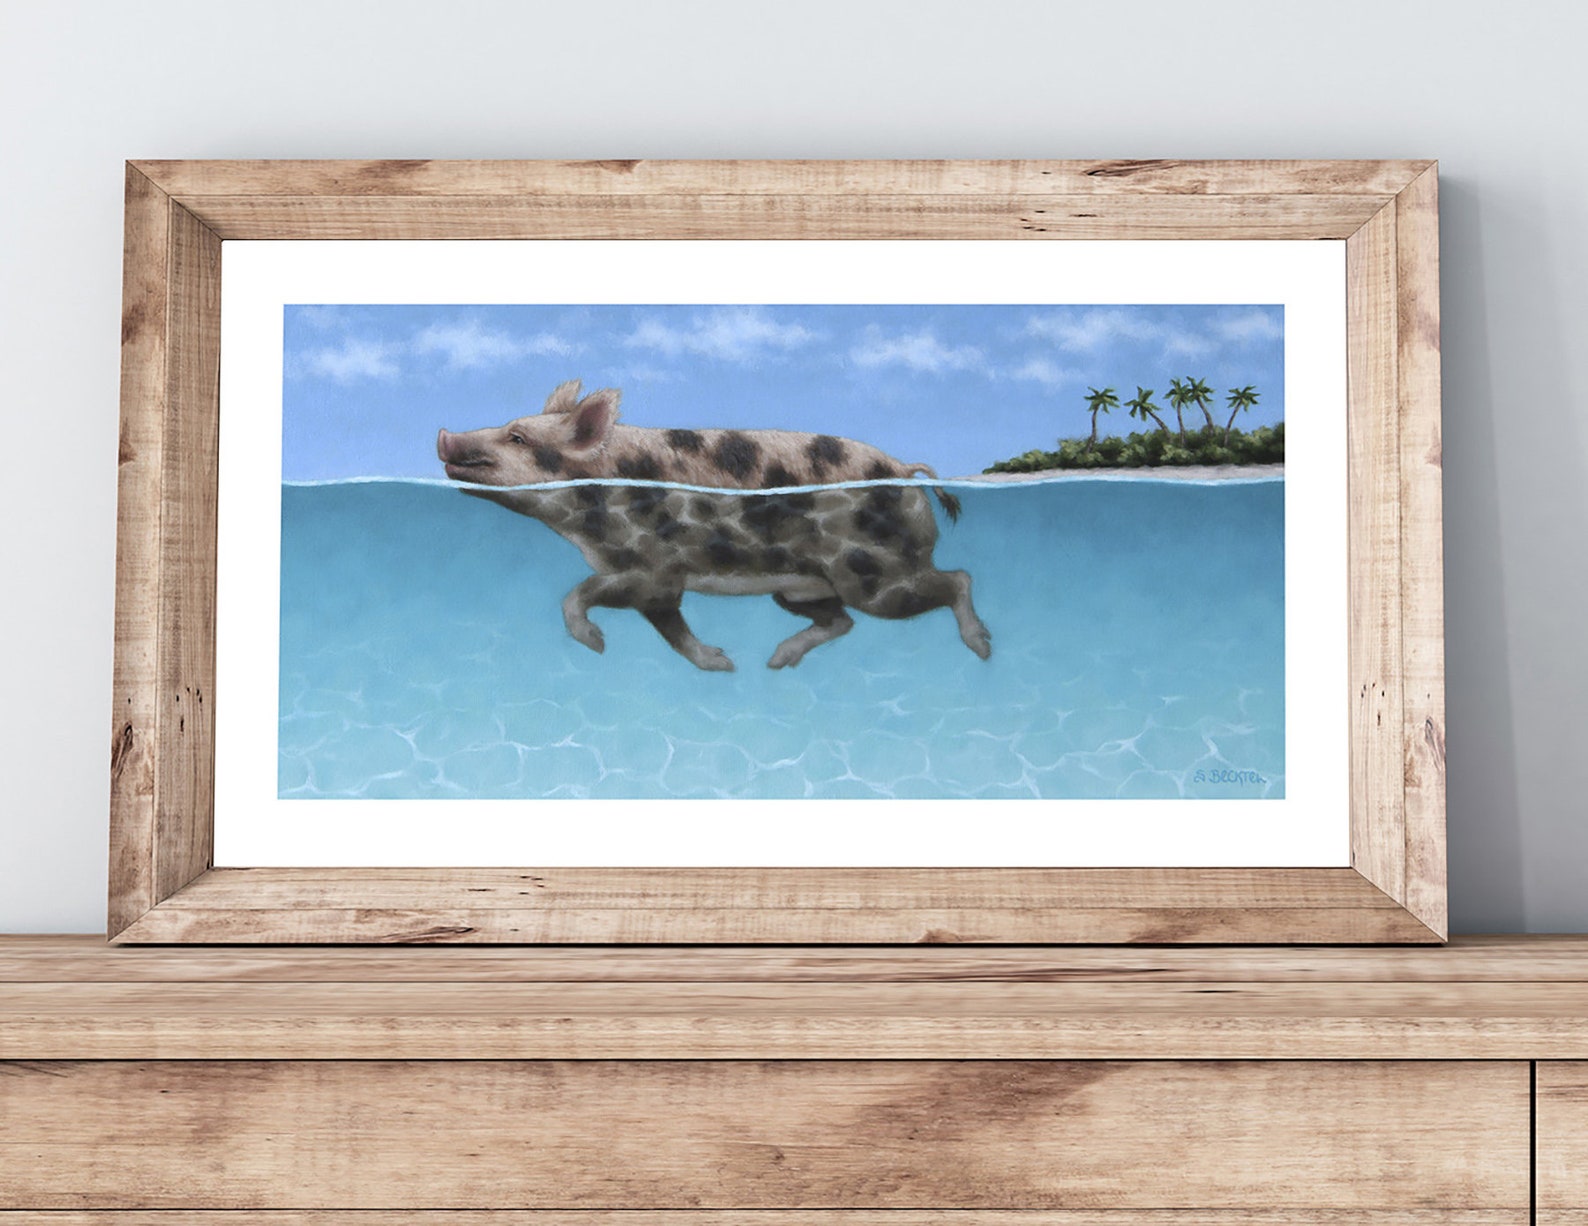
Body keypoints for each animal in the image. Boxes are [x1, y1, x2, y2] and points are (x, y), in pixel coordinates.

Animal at [436, 380, 990, 671]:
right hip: (801, 587)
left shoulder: (651, 570)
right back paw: (774, 662)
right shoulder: (655, 582)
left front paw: (596, 644)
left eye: (518, 437)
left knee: (956, 579)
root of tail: (905, 471)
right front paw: (724, 663)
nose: (443, 434)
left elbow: (580, 594)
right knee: (842, 621)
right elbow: (672, 630)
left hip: (875, 574)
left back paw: (982, 648)